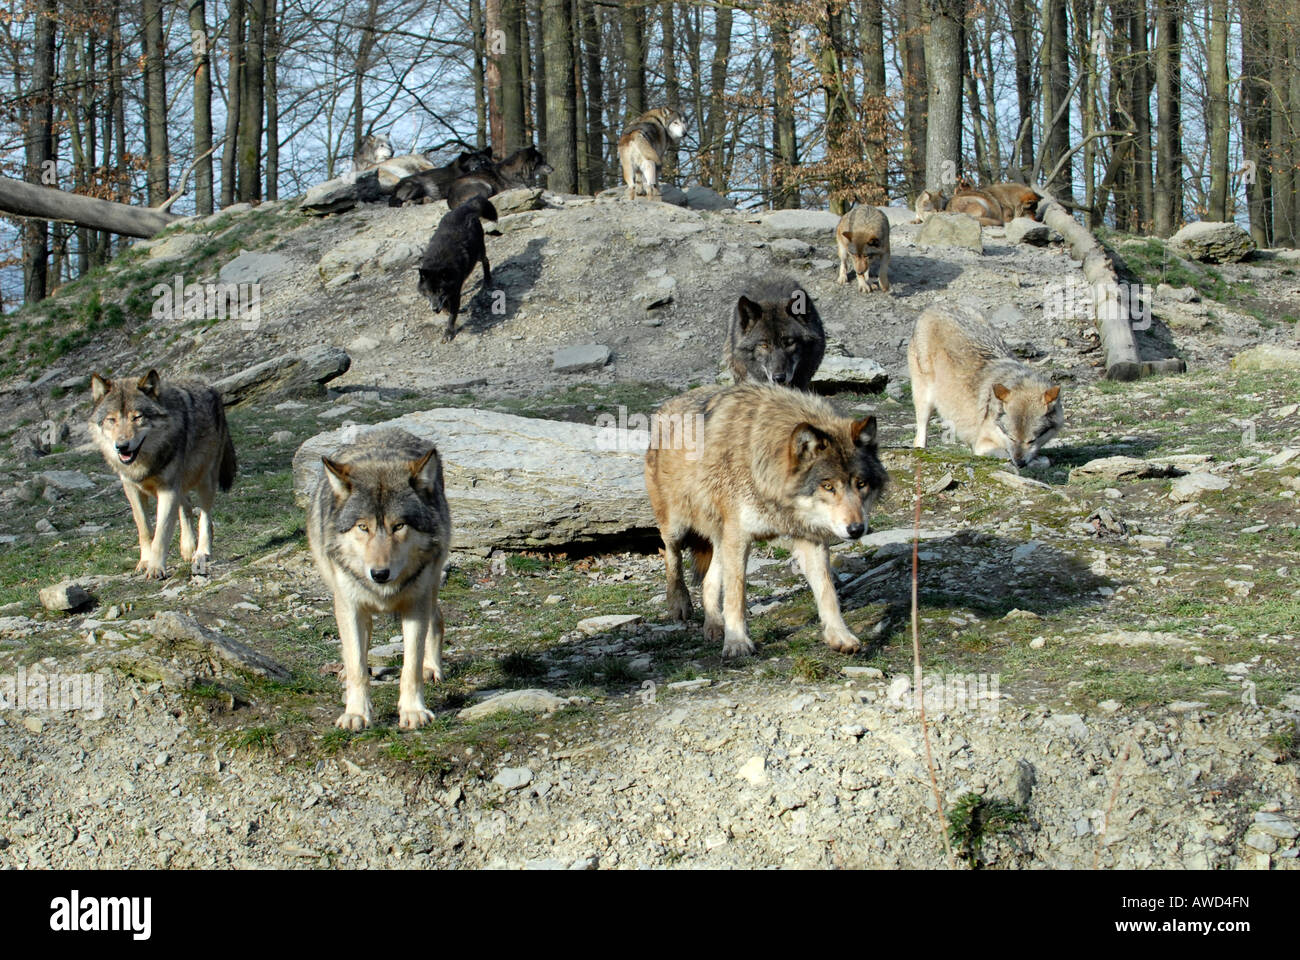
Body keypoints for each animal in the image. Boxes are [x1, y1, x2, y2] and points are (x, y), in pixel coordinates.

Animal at [88, 370, 236, 579]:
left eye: (137, 417)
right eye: (112, 419)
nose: (122, 446)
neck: (144, 462)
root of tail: (207, 383)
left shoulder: (167, 490)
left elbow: (161, 533)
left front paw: (156, 568)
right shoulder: (132, 489)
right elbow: (144, 529)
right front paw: (145, 562)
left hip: (205, 480)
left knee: (205, 517)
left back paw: (202, 552)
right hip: (181, 485)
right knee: (187, 507)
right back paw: (188, 547)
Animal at [307, 428, 451, 730]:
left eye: (399, 526)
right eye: (363, 527)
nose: (379, 574)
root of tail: (387, 430)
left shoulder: (415, 607)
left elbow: (410, 667)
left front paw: (413, 711)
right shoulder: (350, 606)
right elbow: (357, 667)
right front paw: (357, 713)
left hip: (430, 584)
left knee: (437, 619)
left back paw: (432, 668)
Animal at [416, 195, 498, 343]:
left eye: (440, 290)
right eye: (429, 291)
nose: (435, 309)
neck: (438, 263)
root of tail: (464, 207)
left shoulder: (455, 293)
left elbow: (452, 315)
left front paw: (448, 332)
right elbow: (447, 308)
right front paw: (445, 310)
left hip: (478, 254)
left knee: (486, 261)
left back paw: (488, 281)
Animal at [645, 384, 888, 657]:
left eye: (861, 484)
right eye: (827, 486)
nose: (856, 529)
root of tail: (670, 403)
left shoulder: (809, 538)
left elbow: (827, 591)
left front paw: (841, 636)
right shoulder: (739, 537)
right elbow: (737, 593)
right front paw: (737, 642)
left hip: (720, 537)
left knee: (708, 581)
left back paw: (714, 626)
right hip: (677, 526)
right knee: (670, 554)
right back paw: (679, 603)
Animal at [908, 305, 1064, 468]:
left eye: (1031, 440)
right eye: (1011, 437)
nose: (1019, 463)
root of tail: (932, 308)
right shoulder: (983, 445)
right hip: (925, 403)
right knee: (919, 437)